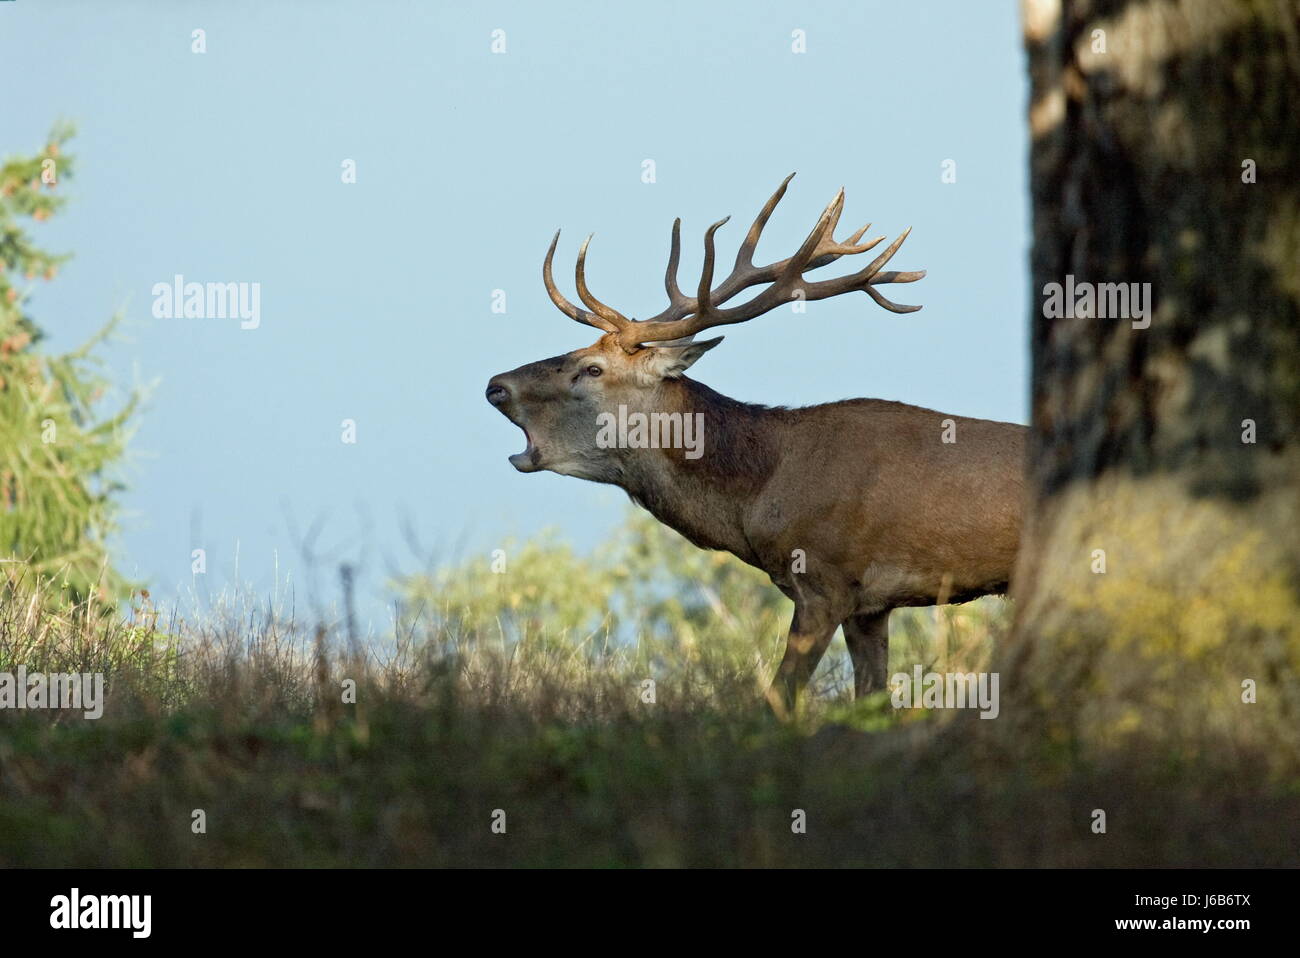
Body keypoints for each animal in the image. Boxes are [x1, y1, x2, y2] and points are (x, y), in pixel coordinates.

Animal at [486, 175, 1026, 716]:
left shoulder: (825, 578)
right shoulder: (871, 606)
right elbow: (871, 698)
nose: (496, 385)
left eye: (592, 369)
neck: (756, 496)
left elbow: (779, 696)